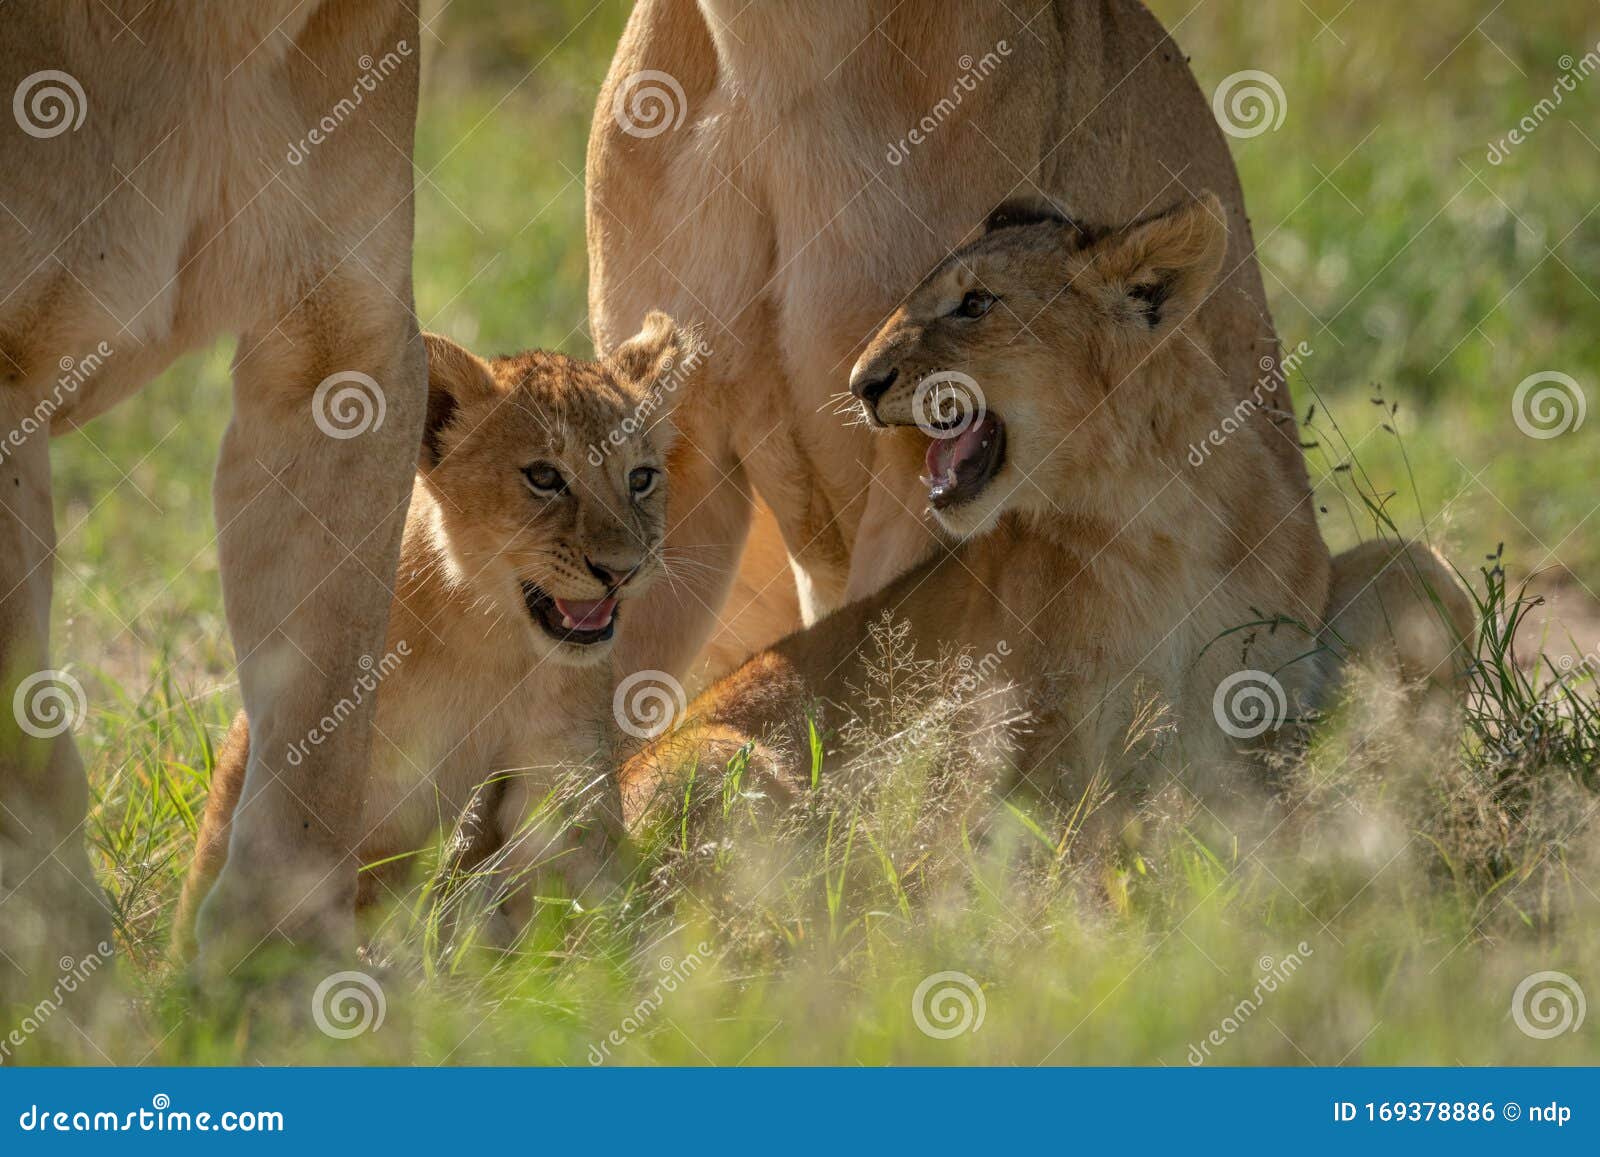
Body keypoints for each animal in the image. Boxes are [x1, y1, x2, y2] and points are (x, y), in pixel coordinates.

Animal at [174, 314, 696, 957]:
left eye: (640, 478)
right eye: (545, 477)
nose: (622, 569)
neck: (488, 638)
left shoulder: (562, 762)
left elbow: (578, 873)